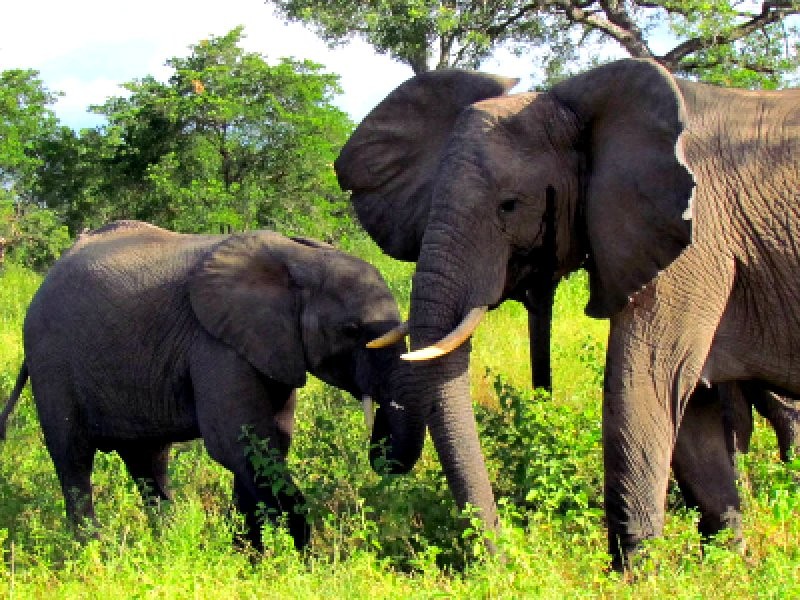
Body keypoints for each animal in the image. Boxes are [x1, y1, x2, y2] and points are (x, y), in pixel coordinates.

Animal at [0, 219, 422, 551]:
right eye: (349, 330)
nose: (379, 451)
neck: (297, 258)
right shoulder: (215, 343)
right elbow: (237, 442)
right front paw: (303, 562)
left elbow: (268, 442)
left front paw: (249, 557)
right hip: (51, 363)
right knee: (73, 460)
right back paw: (94, 556)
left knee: (147, 462)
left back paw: (166, 544)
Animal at [334, 59, 800, 568]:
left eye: (510, 206)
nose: (502, 561)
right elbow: (692, 411)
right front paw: (724, 567)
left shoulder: (697, 242)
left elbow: (646, 382)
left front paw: (635, 575)